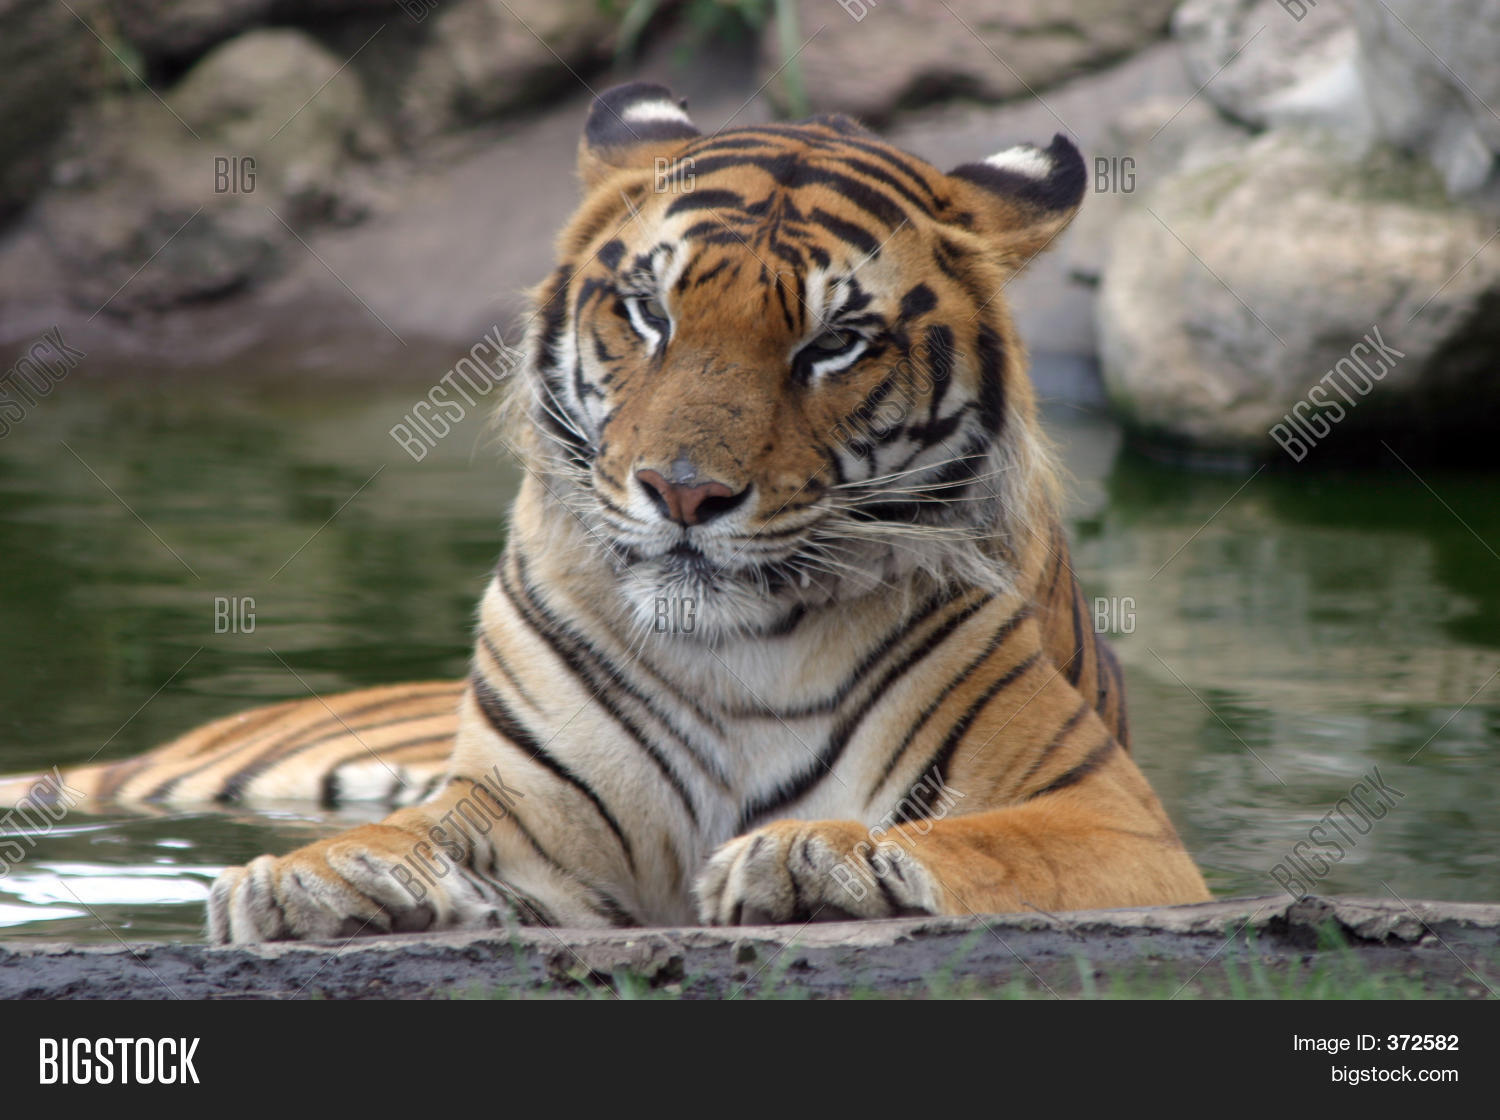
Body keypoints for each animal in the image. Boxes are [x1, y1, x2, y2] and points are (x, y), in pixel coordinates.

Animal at [1, 82, 1210, 942]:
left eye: (834, 343)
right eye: (647, 312)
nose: (683, 491)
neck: (731, 650)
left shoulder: (1111, 820)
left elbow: (986, 846)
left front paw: (821, 855)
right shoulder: (526, 824)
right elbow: (422, 832)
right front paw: (313, 876)